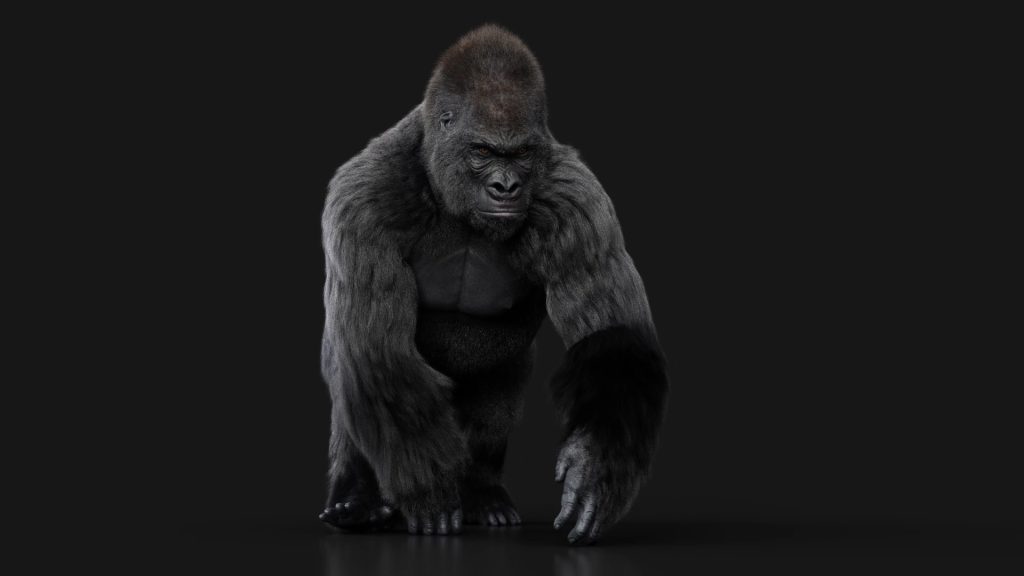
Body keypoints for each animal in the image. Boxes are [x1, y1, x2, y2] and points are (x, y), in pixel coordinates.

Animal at [318, 24, 668, 545]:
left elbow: (612, 336)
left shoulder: (576, 200)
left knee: (494, 410)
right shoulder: (364, 199)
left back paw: (482, 493)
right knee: (358, 362)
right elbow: (379, 348)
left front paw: (597, 464)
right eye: (482, 152)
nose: (505, 187)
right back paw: (357, 500)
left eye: (519, 154)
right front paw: (429, 488)